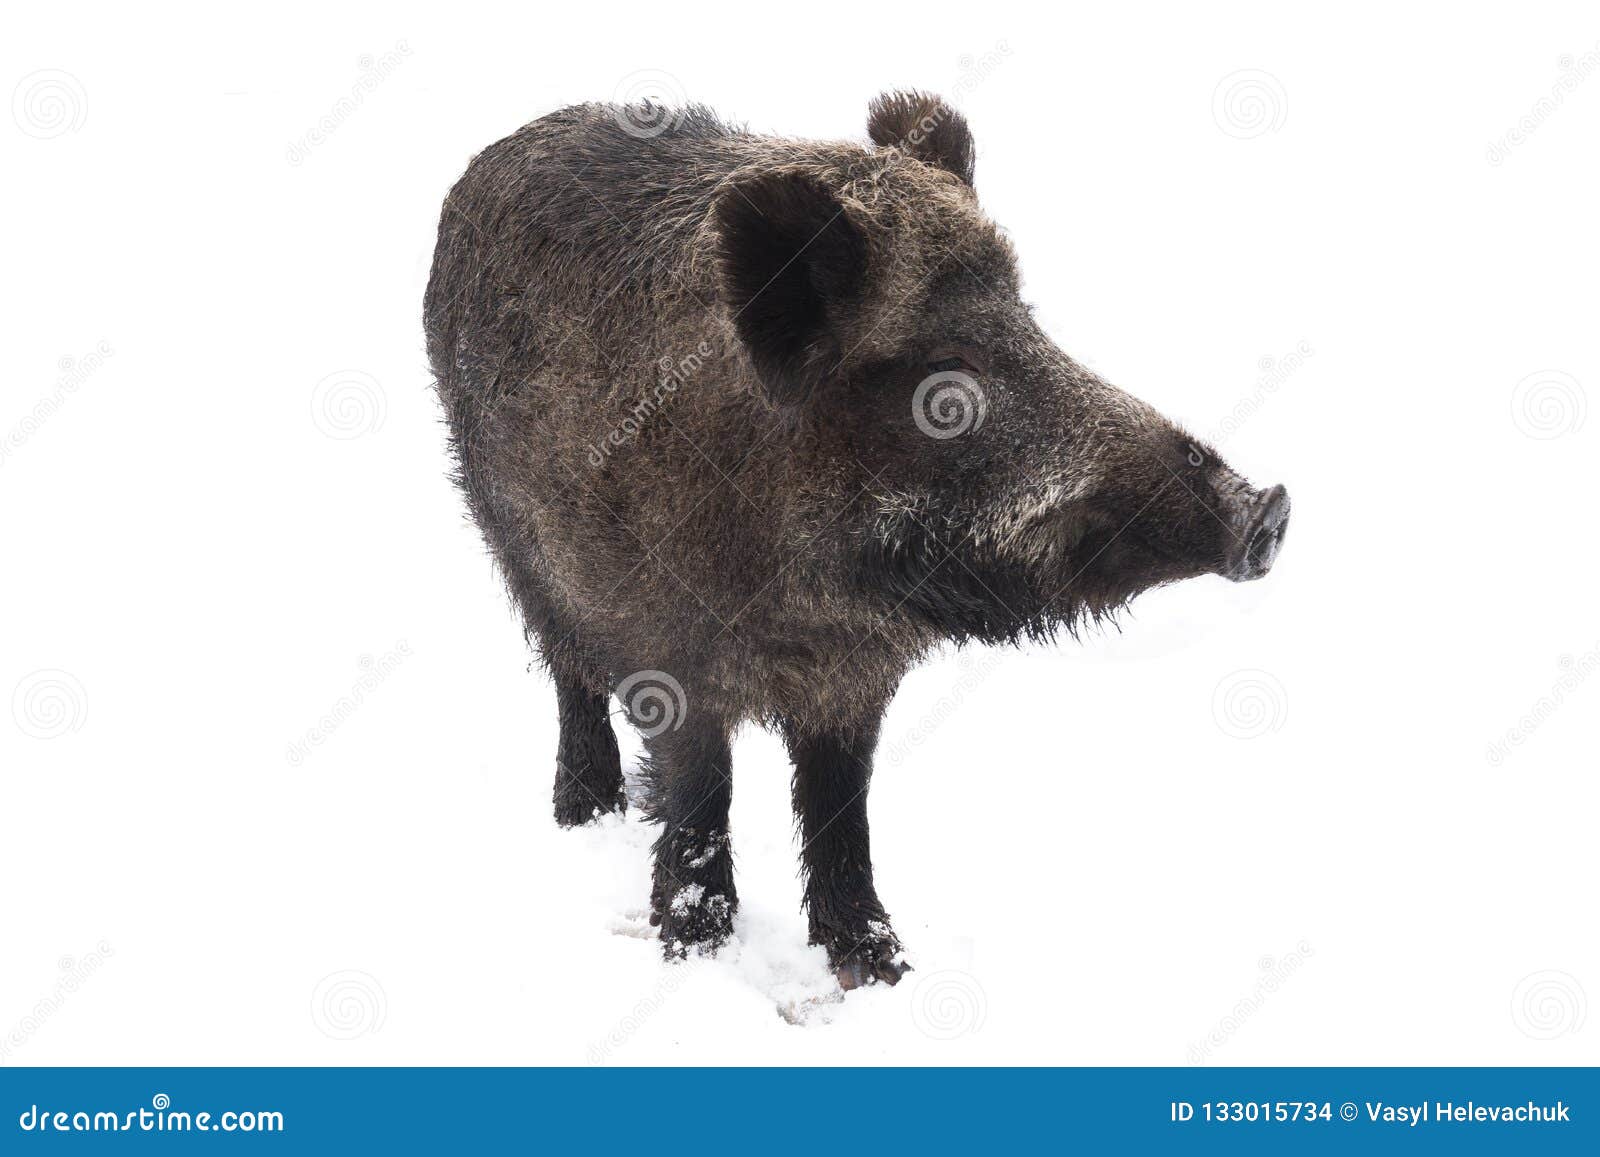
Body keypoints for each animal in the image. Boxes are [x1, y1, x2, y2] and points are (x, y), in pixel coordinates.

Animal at [424, 92, 1290, 989]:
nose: (1267, 508)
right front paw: (694, 948)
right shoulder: (678, 651)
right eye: (947, 373)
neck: (821, 603)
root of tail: (494, 155)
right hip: (513, 543)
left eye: (1028, 322)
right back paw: (586, 813)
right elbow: (703, 794)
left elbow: (841, 806)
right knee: (568, 668)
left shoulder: (856, 680)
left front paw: (878, 966)